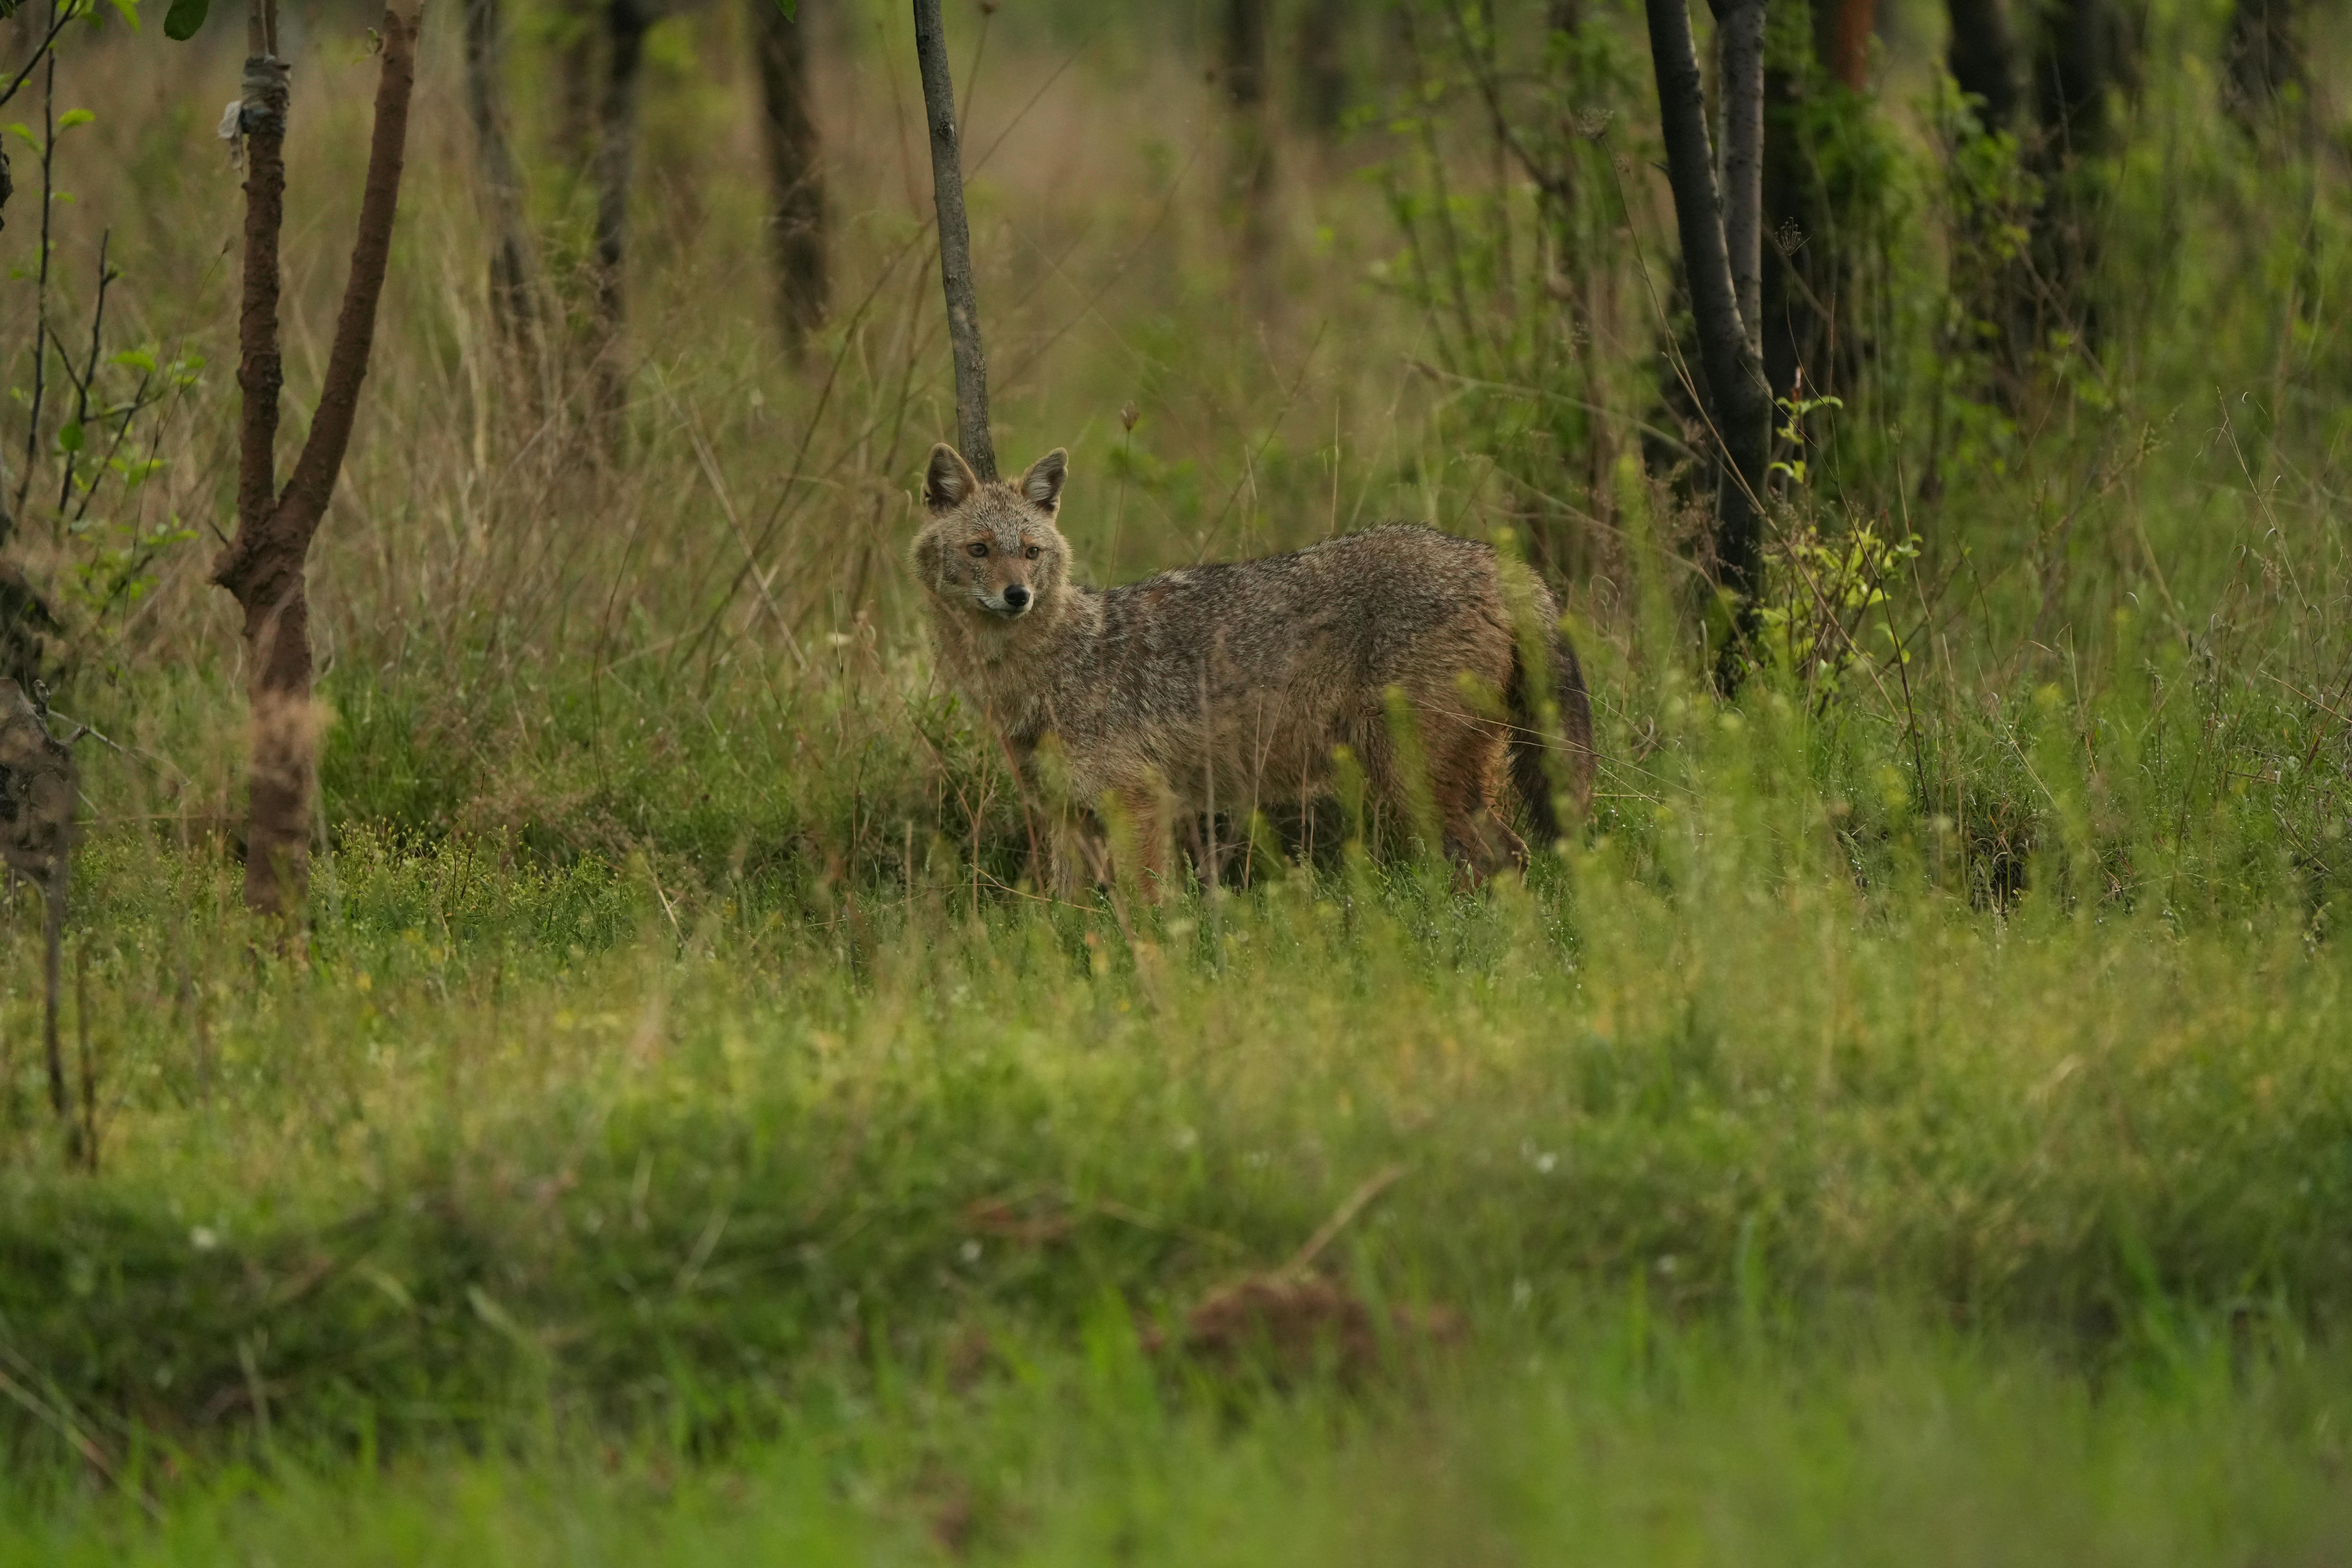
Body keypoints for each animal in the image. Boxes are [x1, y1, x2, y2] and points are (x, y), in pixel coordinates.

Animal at [911, 442, 1595, 890]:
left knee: (1498, 860)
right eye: (979, 550)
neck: (1051, 668)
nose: (1017, 596)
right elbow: (1069, 915)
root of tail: (1498, 562)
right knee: (1508, 857)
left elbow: (1146, 907)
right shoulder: (1066, 816)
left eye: (1030, 552)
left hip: (1415, 781)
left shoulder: (1139, 803)